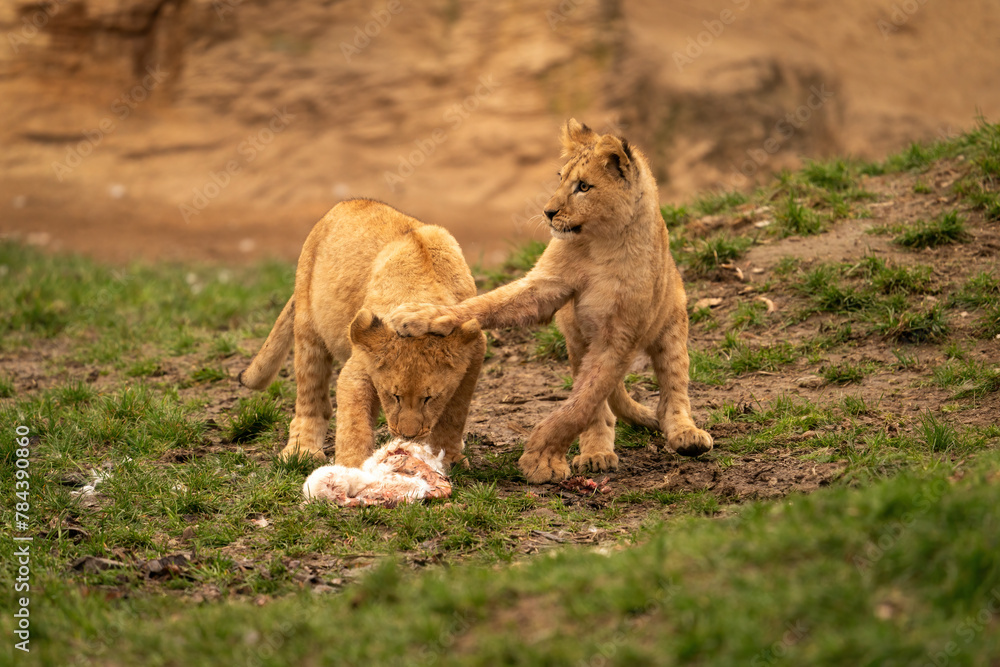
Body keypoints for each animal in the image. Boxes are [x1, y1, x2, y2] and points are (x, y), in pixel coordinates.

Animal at [239, 199, 486, 468]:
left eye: (429, 398)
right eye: (394, 396)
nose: (408, 435)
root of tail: (348, 203)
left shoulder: (474, 352)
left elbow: (454, 413)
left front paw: (449, 457)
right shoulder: (360, 360)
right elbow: (354, 425)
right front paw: (352, 470)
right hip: (308, 326)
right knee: (311, 397)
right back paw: (301, 450)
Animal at [388, 119, 713, 483]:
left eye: (584, 186)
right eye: (560, 179)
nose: (548, 212)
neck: (601, 245)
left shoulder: (620, 337)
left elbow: (579, 405)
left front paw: (541, 458)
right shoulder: (547, 286)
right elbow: (484, 304)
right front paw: (419, 316)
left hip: (671, 328)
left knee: (671, 389)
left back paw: (685, 434)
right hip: (577, 337)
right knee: (602, 406)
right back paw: (596, 452)